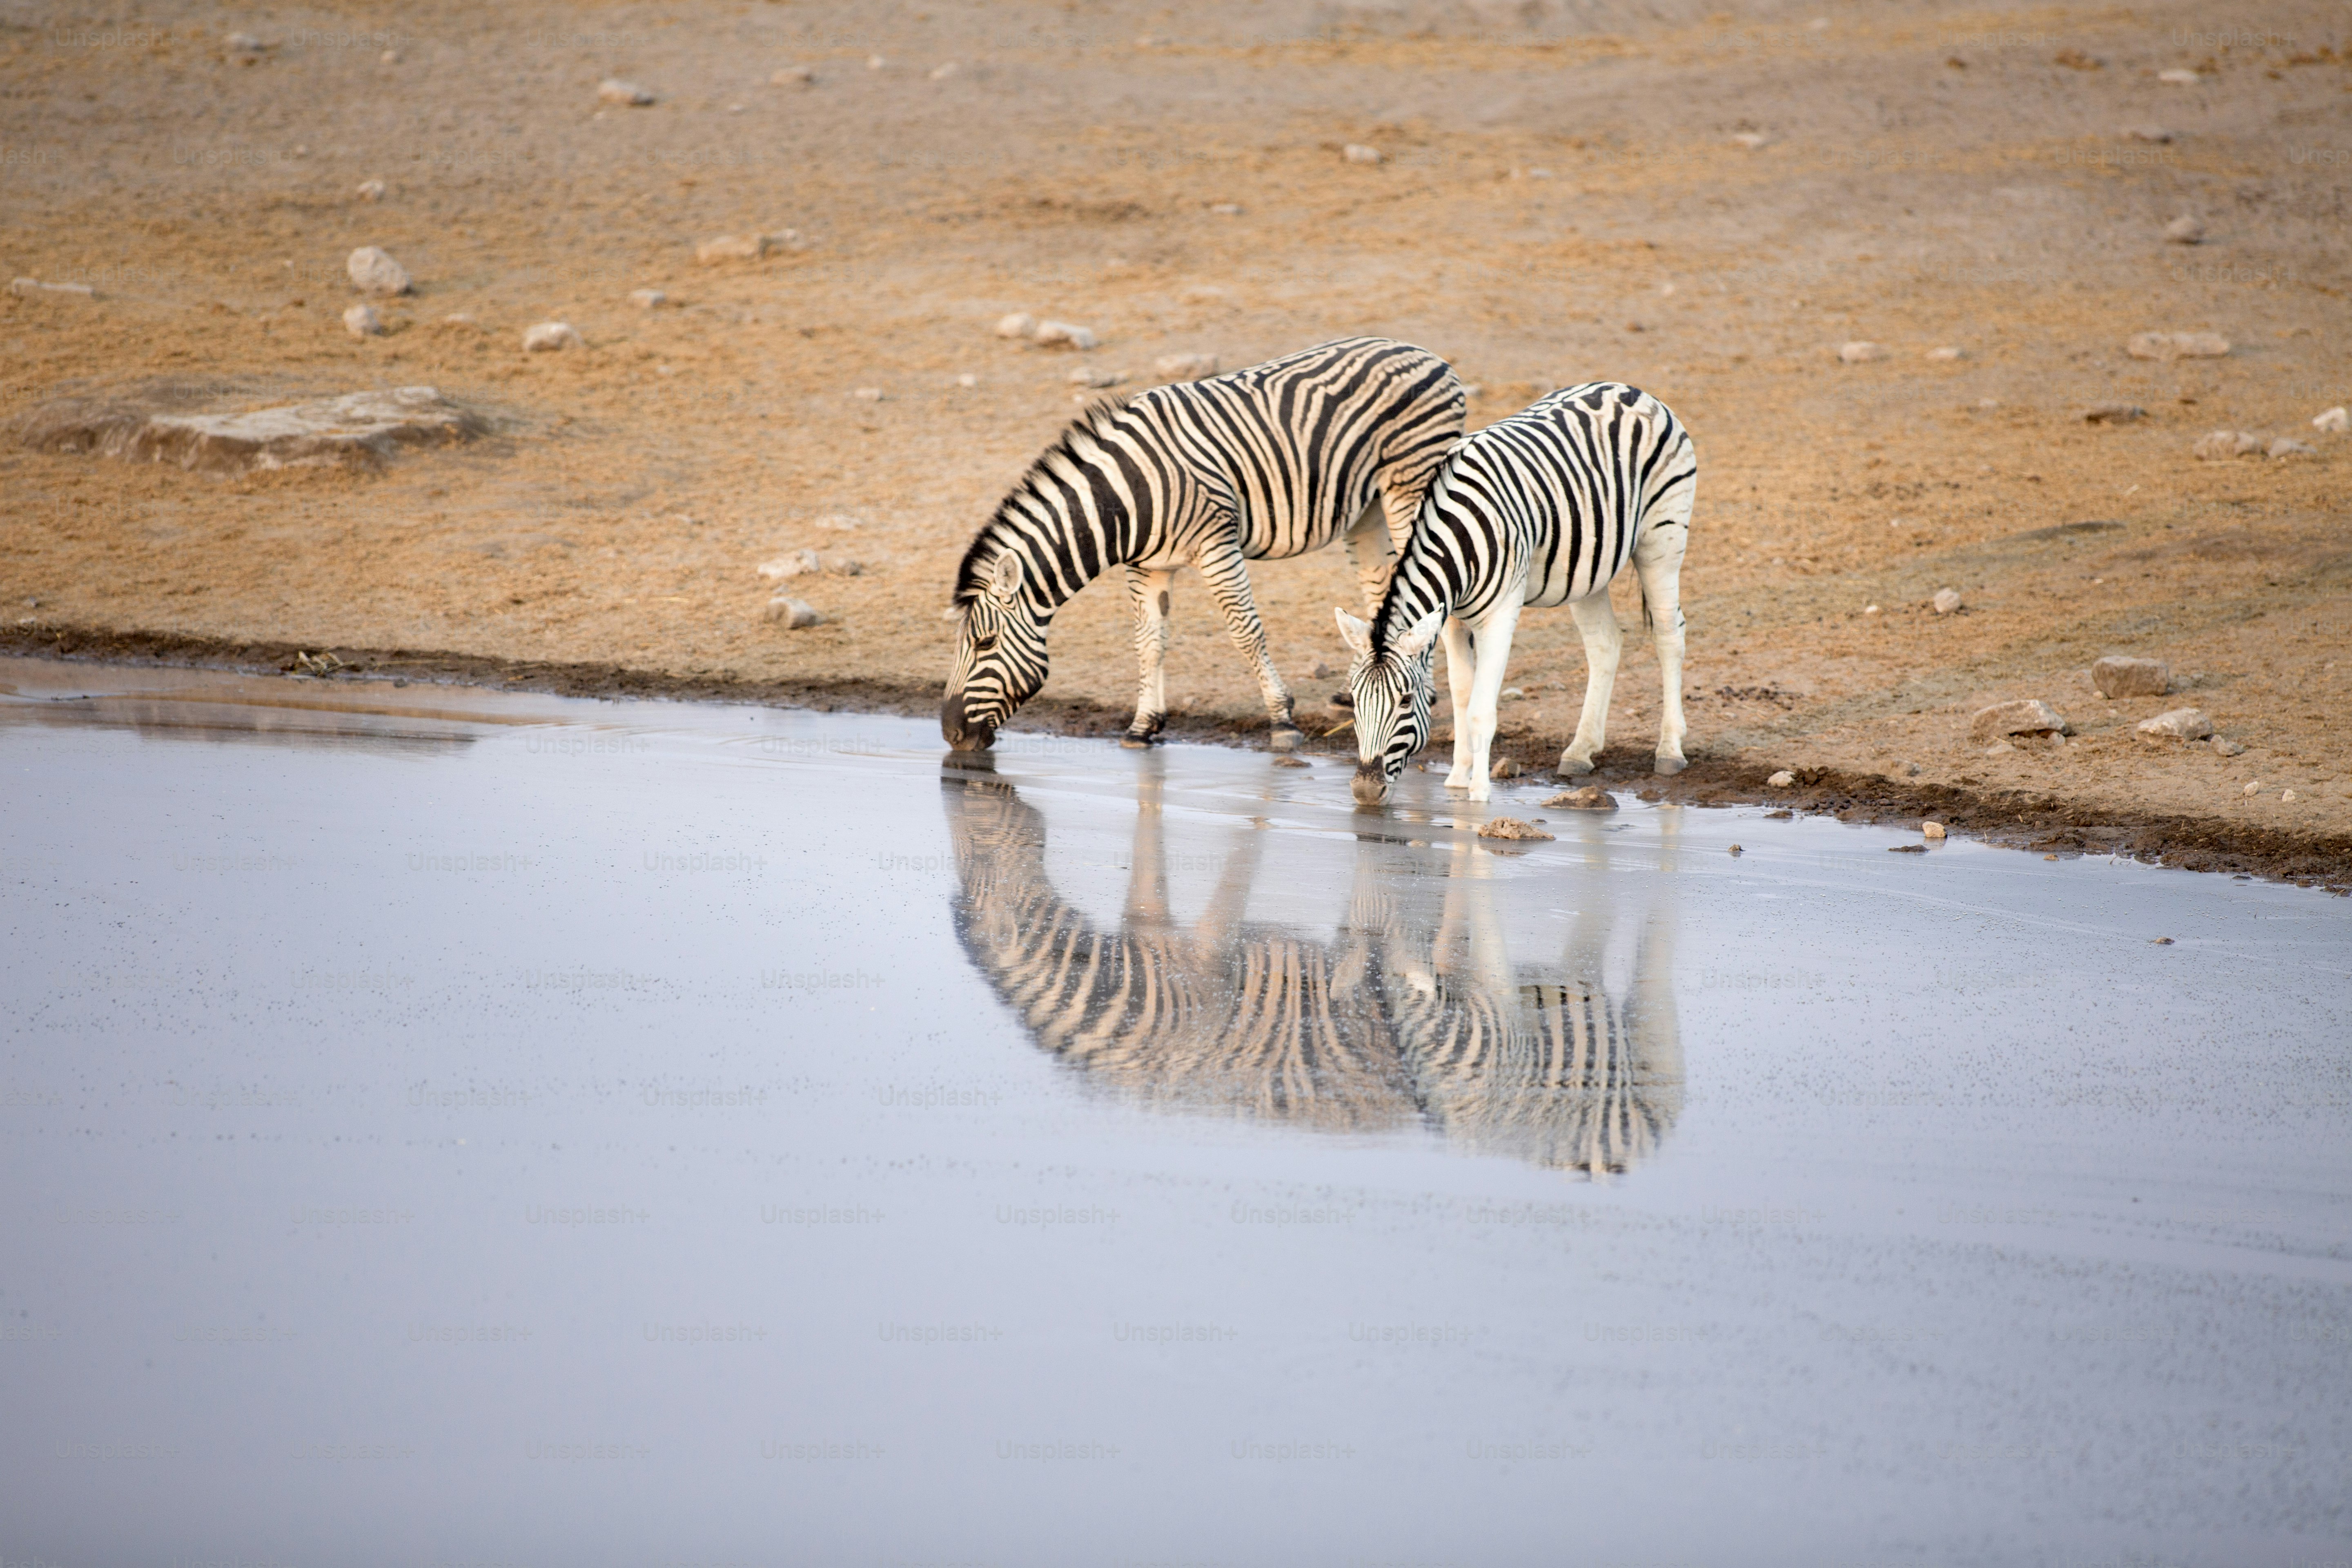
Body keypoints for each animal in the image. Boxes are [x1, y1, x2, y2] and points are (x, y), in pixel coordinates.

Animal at [940, 337, 1464, 753]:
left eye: (984, 643)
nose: (949, 734)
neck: (1127, 497)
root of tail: (1427, 355)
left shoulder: (1217, 545)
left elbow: (1246, 632)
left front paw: (1282, 720)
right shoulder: (1147, 566)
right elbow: (1149, 642)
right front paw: (1143, 726)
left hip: (1411, 485)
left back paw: (1424, 691)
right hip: (1366, 507)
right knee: (1379, 584)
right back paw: (1354, 687)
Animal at [1335, 382, 1697, 805]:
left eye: (1405, 701)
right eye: (1354, 700)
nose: (1364, 791)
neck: (1458, 537)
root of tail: (1629, 389)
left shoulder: (1499, 615)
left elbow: (1480, 710)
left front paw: (1478, 793)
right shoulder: (1451, 619)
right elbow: (1462, 696)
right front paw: (1457, 777)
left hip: (1662, 537)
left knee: (1670, 635)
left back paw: (1670, 750)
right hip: (1588, 567)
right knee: (1605, 643)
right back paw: (1580, 752)